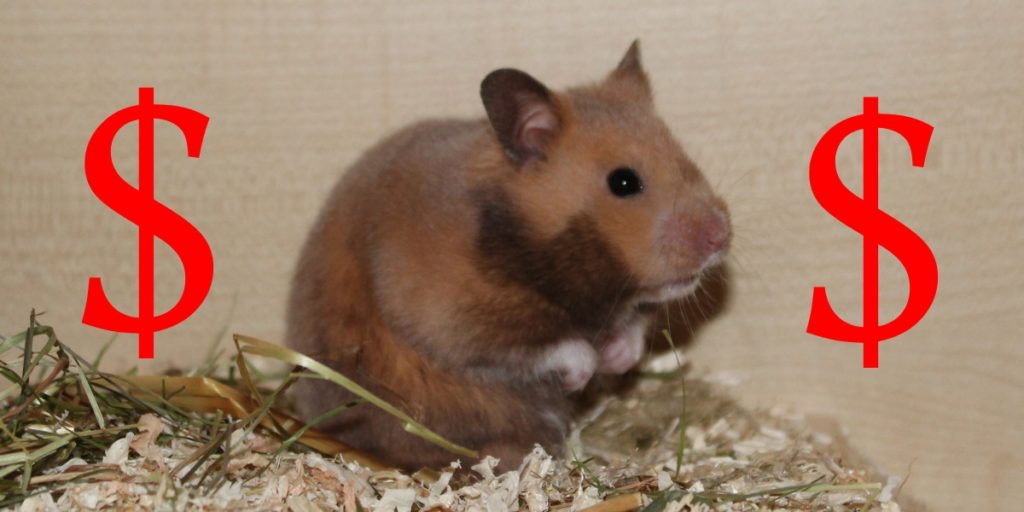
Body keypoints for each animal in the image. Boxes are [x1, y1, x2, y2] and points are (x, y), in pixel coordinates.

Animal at [286, 41, 730, 472]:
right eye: (624, 182)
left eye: (682, 155)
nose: (721, 236)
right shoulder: (459, 324)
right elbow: (553, 348)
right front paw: (583, 371)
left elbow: (633, 333)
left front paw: (615, 356)